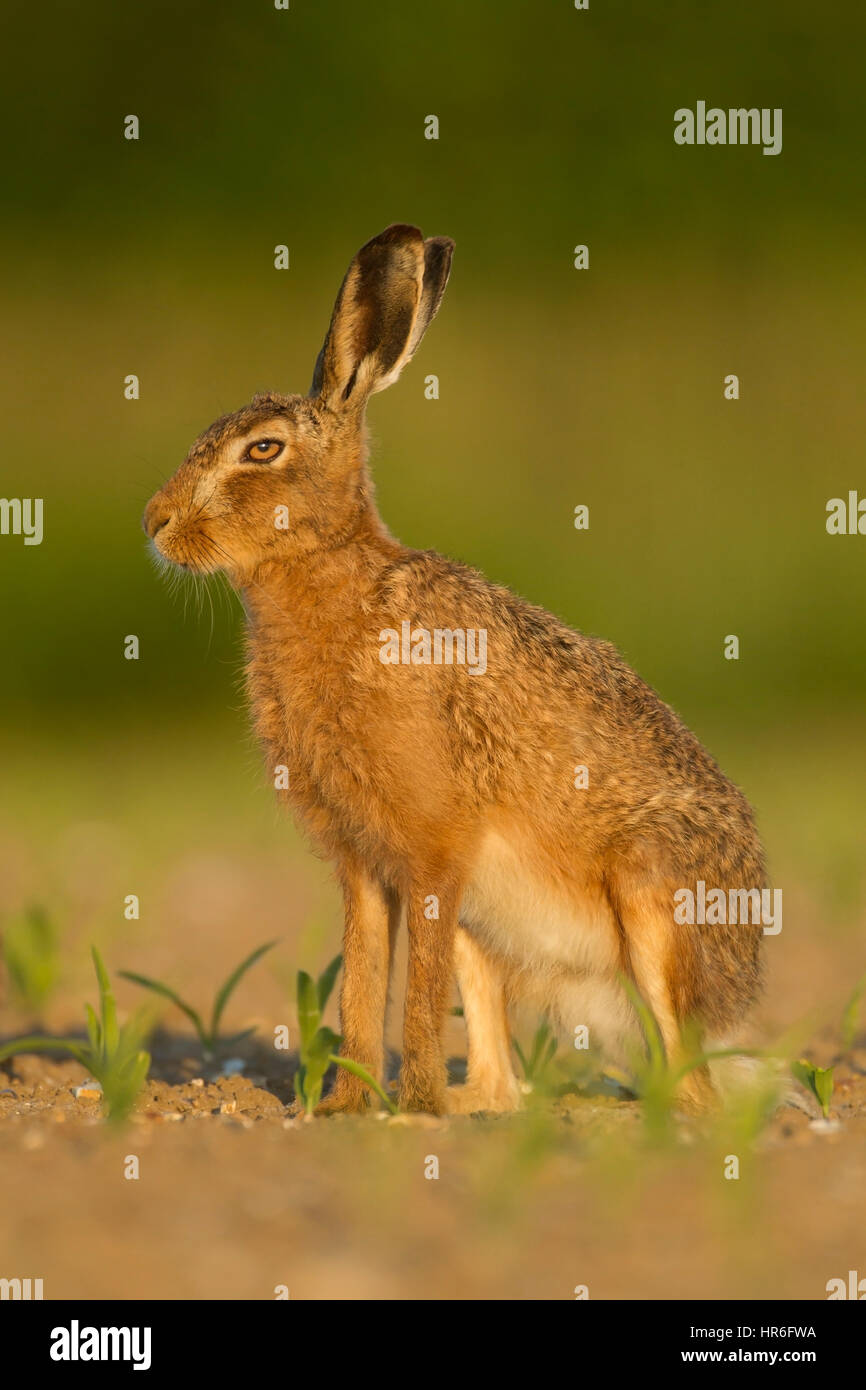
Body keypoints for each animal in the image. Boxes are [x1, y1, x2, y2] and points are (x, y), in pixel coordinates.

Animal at [143, 223, 766, 1116]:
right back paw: (490, 1109)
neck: (330, 573)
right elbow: (362, 984)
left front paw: (412, 1110)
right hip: (490, 923)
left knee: (693, 1082)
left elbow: (417, 991)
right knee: (508, 1076)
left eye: (262, 449)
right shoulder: (364, 865)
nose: (155, 523)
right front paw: (346, 1108)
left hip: (652, 900)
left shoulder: (436, 849)